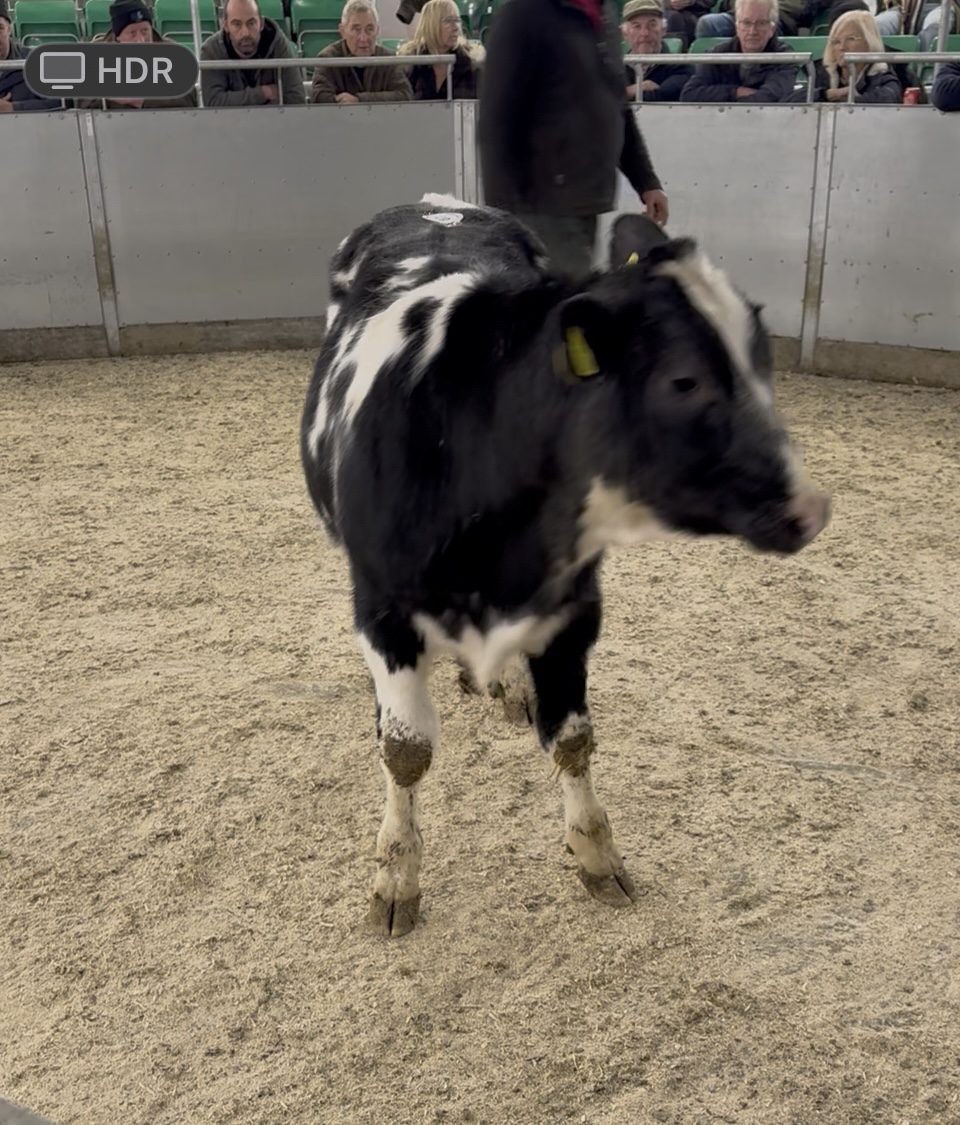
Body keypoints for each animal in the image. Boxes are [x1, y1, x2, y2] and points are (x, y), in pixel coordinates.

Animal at [300, 193, 830, 938]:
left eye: (762, 356)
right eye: (684, 379)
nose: (811, 509)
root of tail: (436, 203)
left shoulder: (573, 609)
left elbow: (573, 739)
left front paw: (597, 854)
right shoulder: (382, 609)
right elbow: (405, 751)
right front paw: (396, 876)